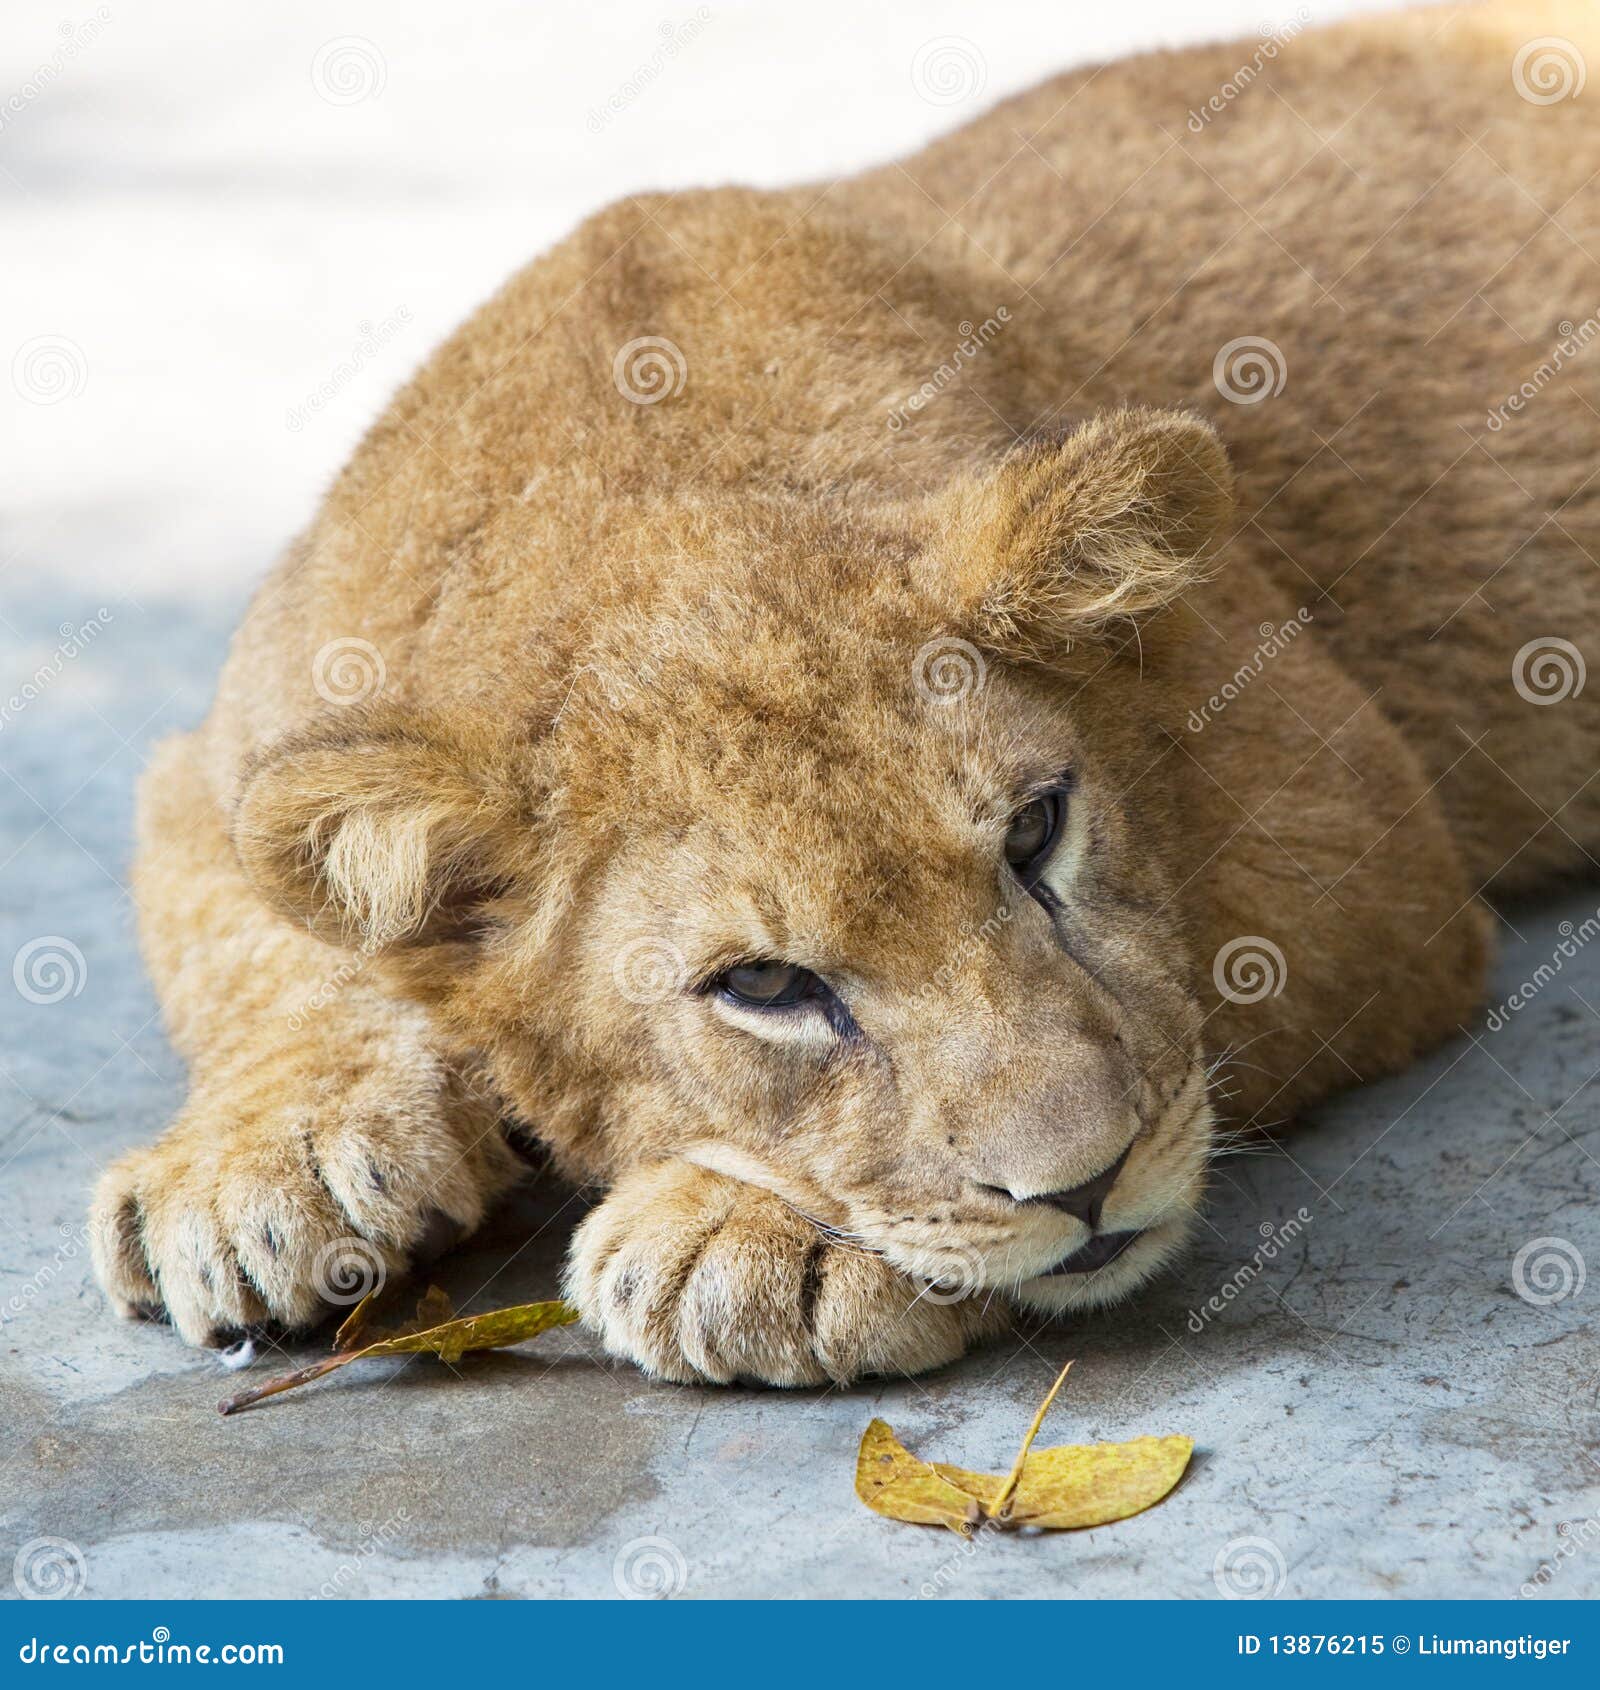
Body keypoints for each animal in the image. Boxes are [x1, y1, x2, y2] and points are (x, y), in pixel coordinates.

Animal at [90, 2, 1600, 1384]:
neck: (650, 500)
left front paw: (750, 1236)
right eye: (762, 982)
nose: (1086, 1184)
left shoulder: (1355, 831)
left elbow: (1191, 1001)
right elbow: (255, 940)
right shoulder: (224, 758)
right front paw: (261, 1162)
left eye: (1039, 831)